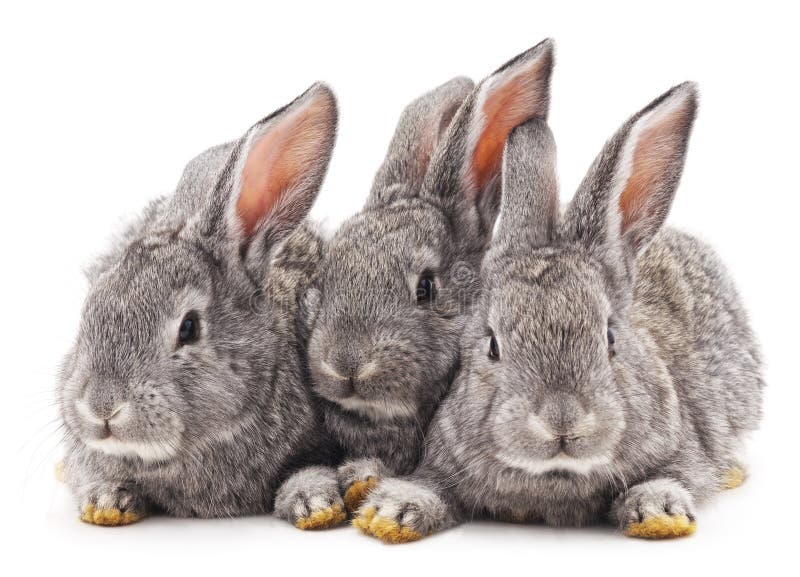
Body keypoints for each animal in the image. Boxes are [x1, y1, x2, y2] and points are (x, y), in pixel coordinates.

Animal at [354, 81, 765, 542]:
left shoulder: (685, 448)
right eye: (493, 346)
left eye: (610, 338)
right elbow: (430, 484)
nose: (562, 420)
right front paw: (391, 512)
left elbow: (674, 476)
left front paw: (658, 513)